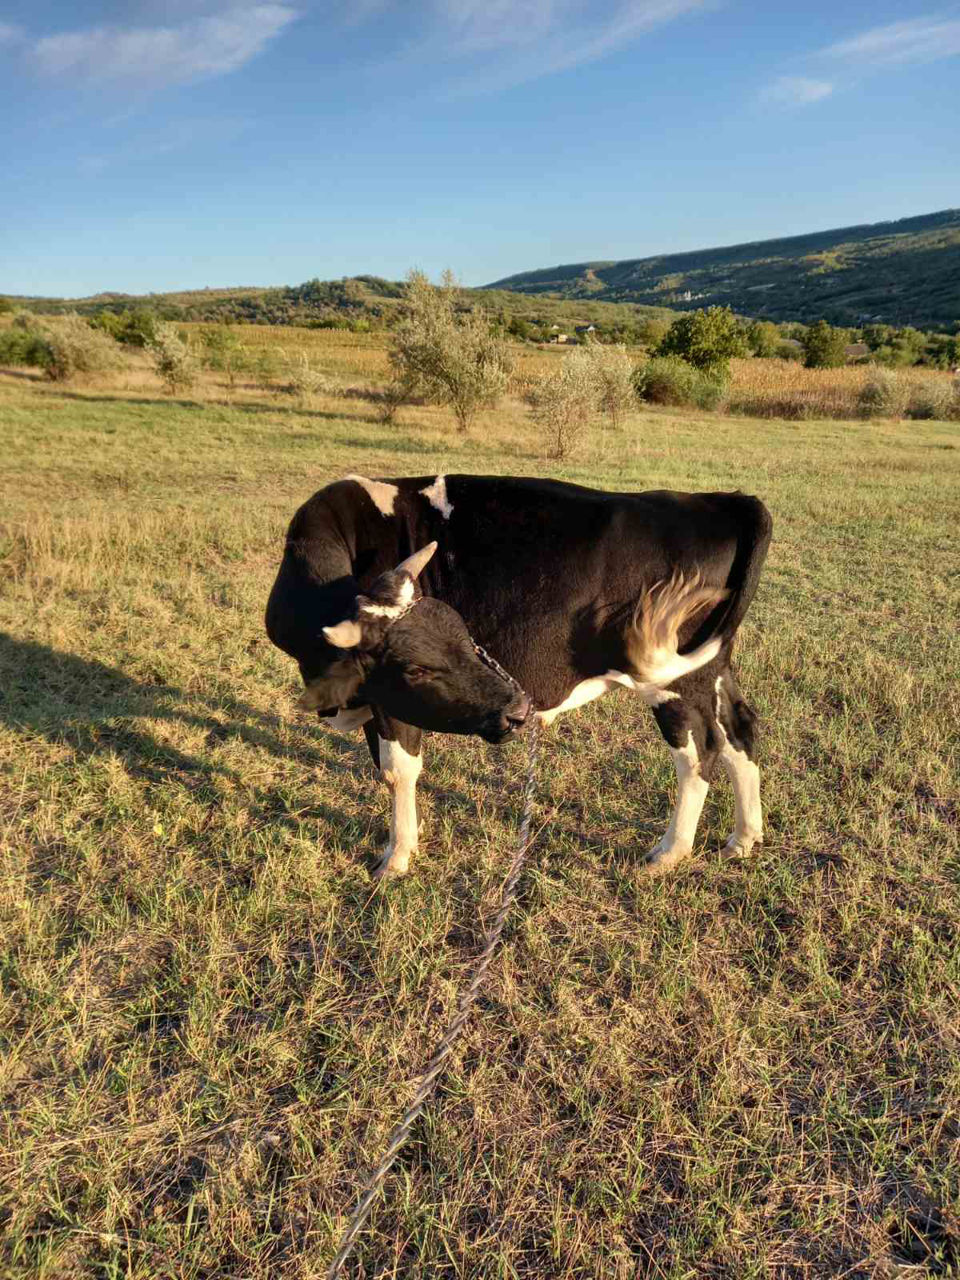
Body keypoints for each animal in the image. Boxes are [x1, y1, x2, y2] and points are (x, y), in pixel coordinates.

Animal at [265, 474, 772, 879]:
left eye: (461, 635)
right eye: (418, 664)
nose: (518, 708)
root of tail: (719, 500)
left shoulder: (392, 704)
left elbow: (397, 770)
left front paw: (397, 855)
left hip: (671, 680)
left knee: (700, 751)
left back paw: (669, 852)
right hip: (710, 667)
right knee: (739, 730)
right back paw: (744, 836)